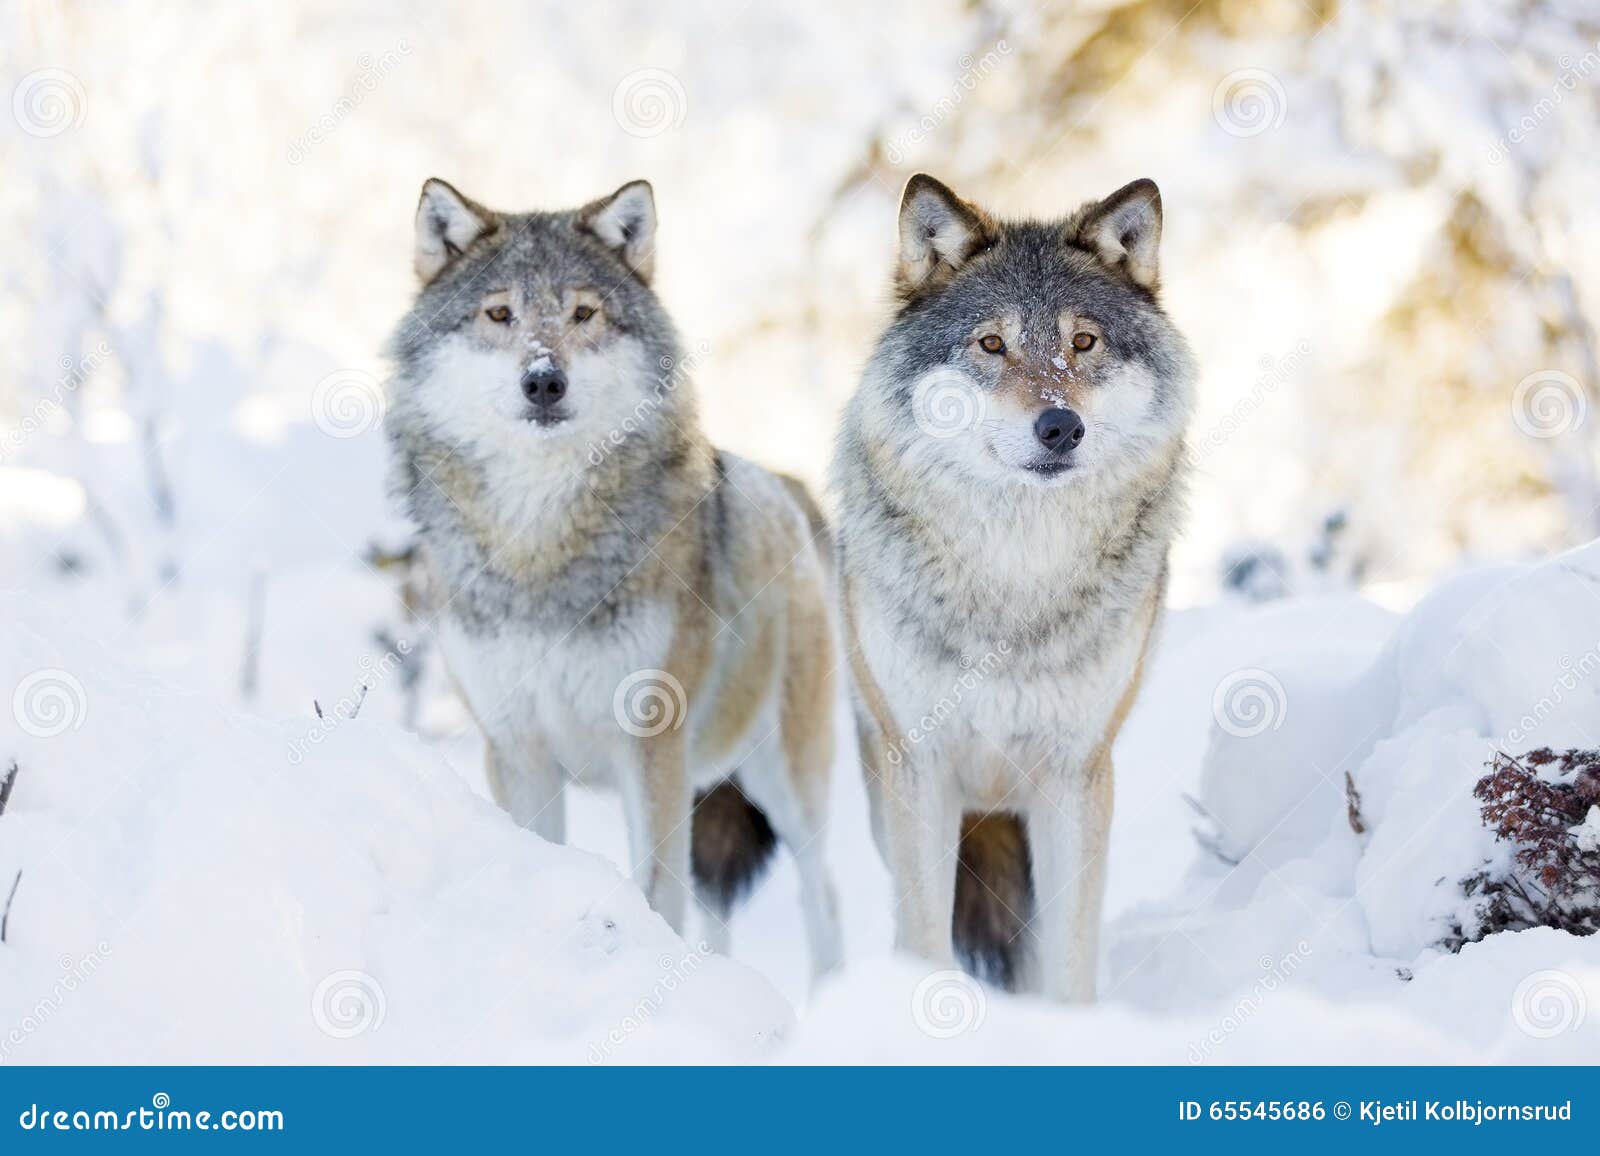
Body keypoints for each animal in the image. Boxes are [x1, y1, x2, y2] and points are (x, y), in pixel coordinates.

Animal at [385, 178, 841, 979]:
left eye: (583, 313)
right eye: (499, 314)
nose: (544, 379)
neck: (539, 547)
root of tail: (787, 487)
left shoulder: (650, 745)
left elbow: (655, 892)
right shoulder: (518, 748)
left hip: (785, 781)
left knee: (827, 898)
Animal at [832, 174, 1195, 1000]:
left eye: (1083, 342)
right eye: (991, 344)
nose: (1060, 428)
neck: (1016, 577)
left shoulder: (1076, 775)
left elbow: (1068, 958)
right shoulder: (920, 767)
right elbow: (925, 937)